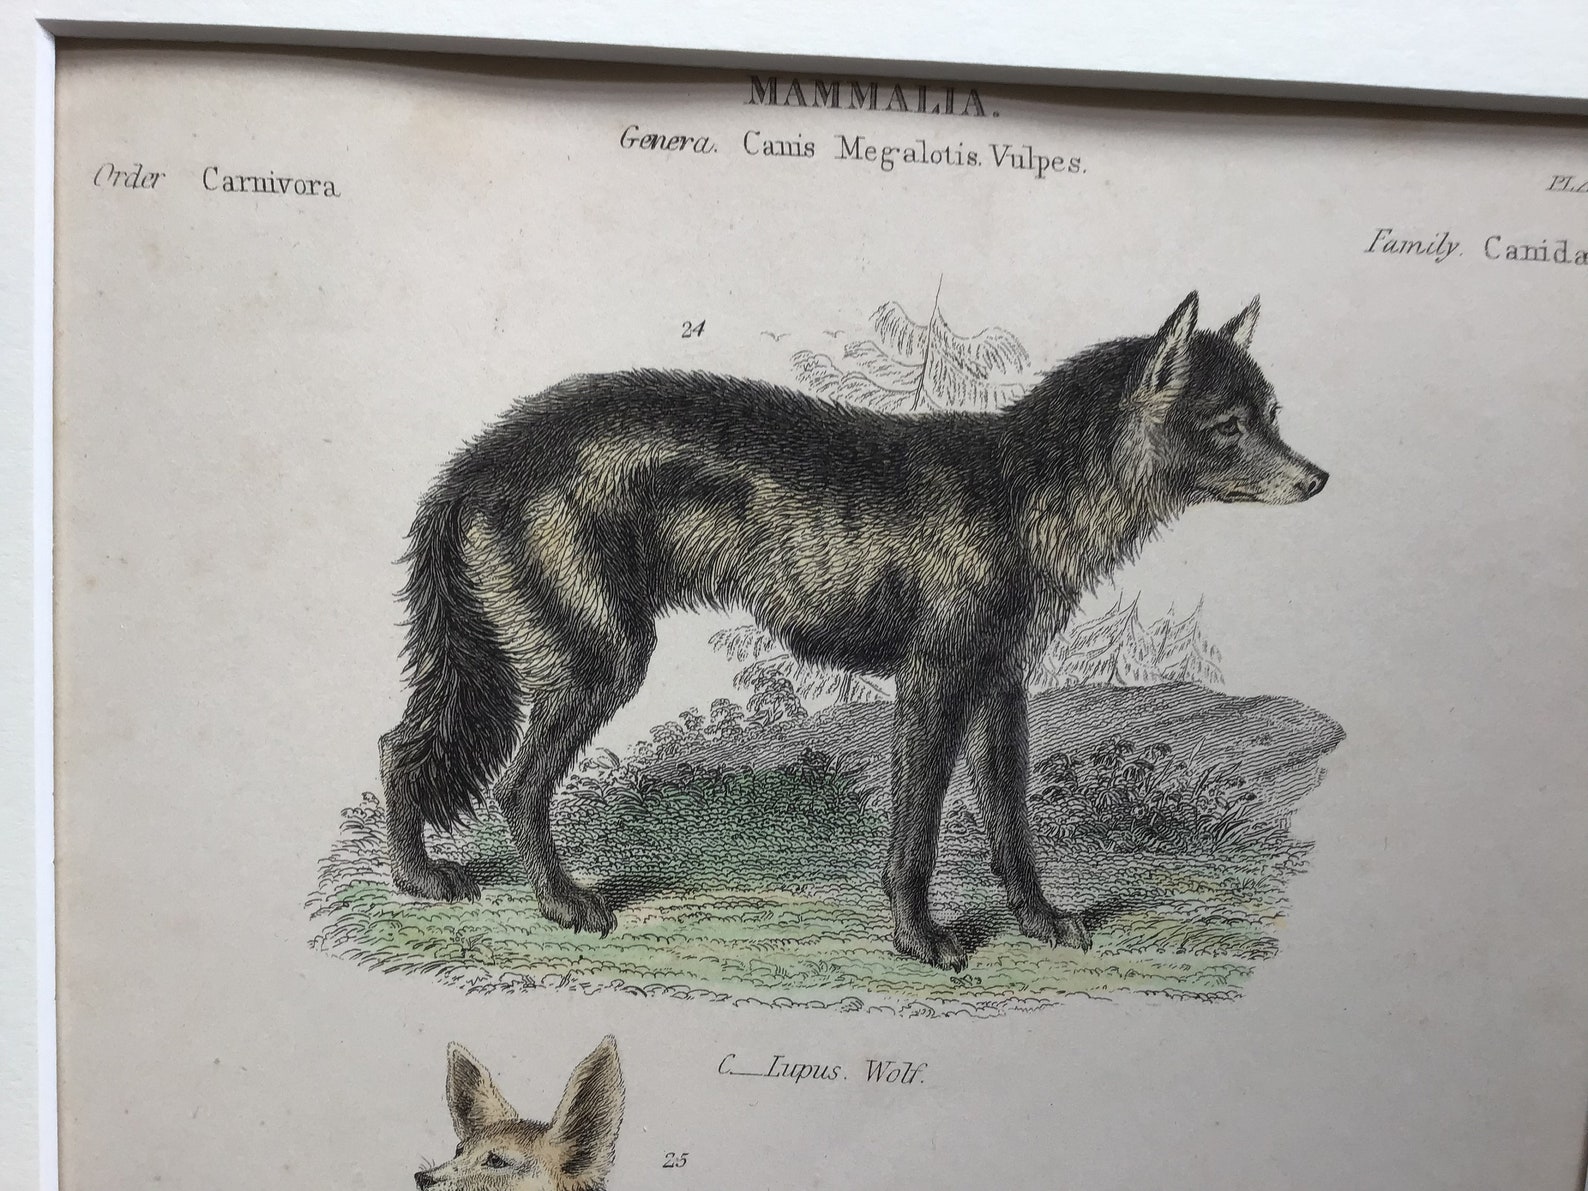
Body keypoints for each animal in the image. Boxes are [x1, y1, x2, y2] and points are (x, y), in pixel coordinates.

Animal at [378, 290, 1328, 970]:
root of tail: (476, 462)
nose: (1316, 478)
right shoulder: (935, 682)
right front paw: (920, 938)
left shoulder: (1000, 687)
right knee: (515, 785)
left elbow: (1012, 823)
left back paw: (418, 876)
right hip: (596, 662)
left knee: (401, 745)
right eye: (1228, 425)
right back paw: (559, 899)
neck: (1023, 489)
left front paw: (1040, 919)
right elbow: (917, 832)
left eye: (1273, 412)